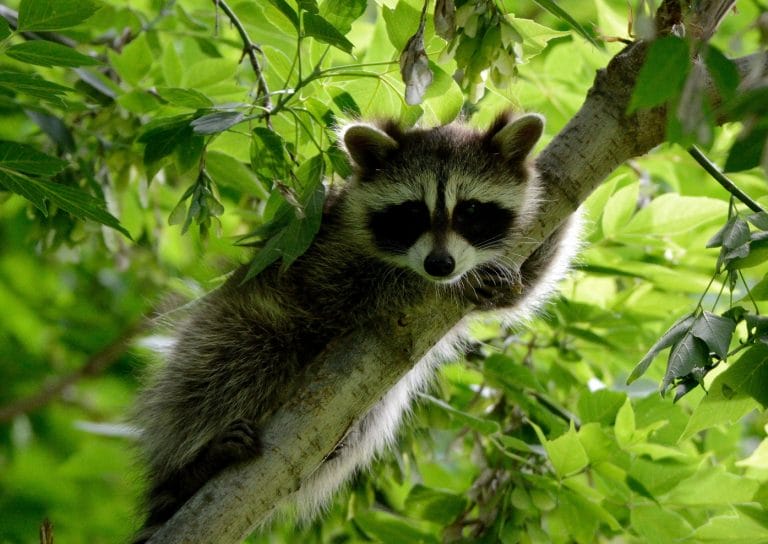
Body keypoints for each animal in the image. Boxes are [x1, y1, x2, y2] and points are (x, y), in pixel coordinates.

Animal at [132, 112, 579, 542]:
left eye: (469, 211)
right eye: (412, 212)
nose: (440, 265)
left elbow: (525, 282)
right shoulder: (323, 249)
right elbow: (345, 289)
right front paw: (420, 281)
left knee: (366, 418)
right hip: (229, 323)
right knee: (231, 361)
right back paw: (189, 466)